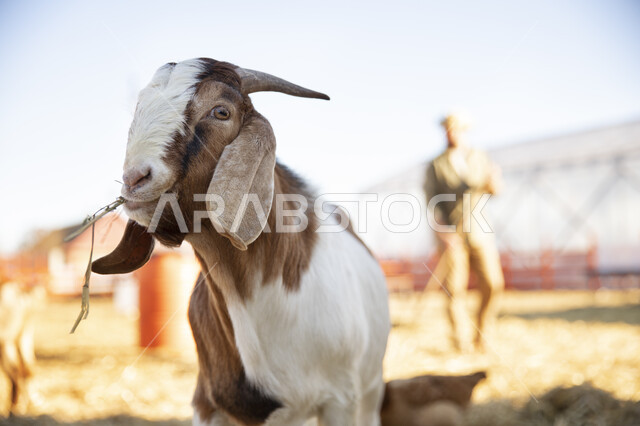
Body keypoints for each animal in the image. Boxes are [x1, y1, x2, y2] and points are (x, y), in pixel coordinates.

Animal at [92, 58, 391, 426]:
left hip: (370, 390)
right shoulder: (207, 403)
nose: (135, 179)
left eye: (221, 112)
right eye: (139, 108)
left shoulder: (341, 400)